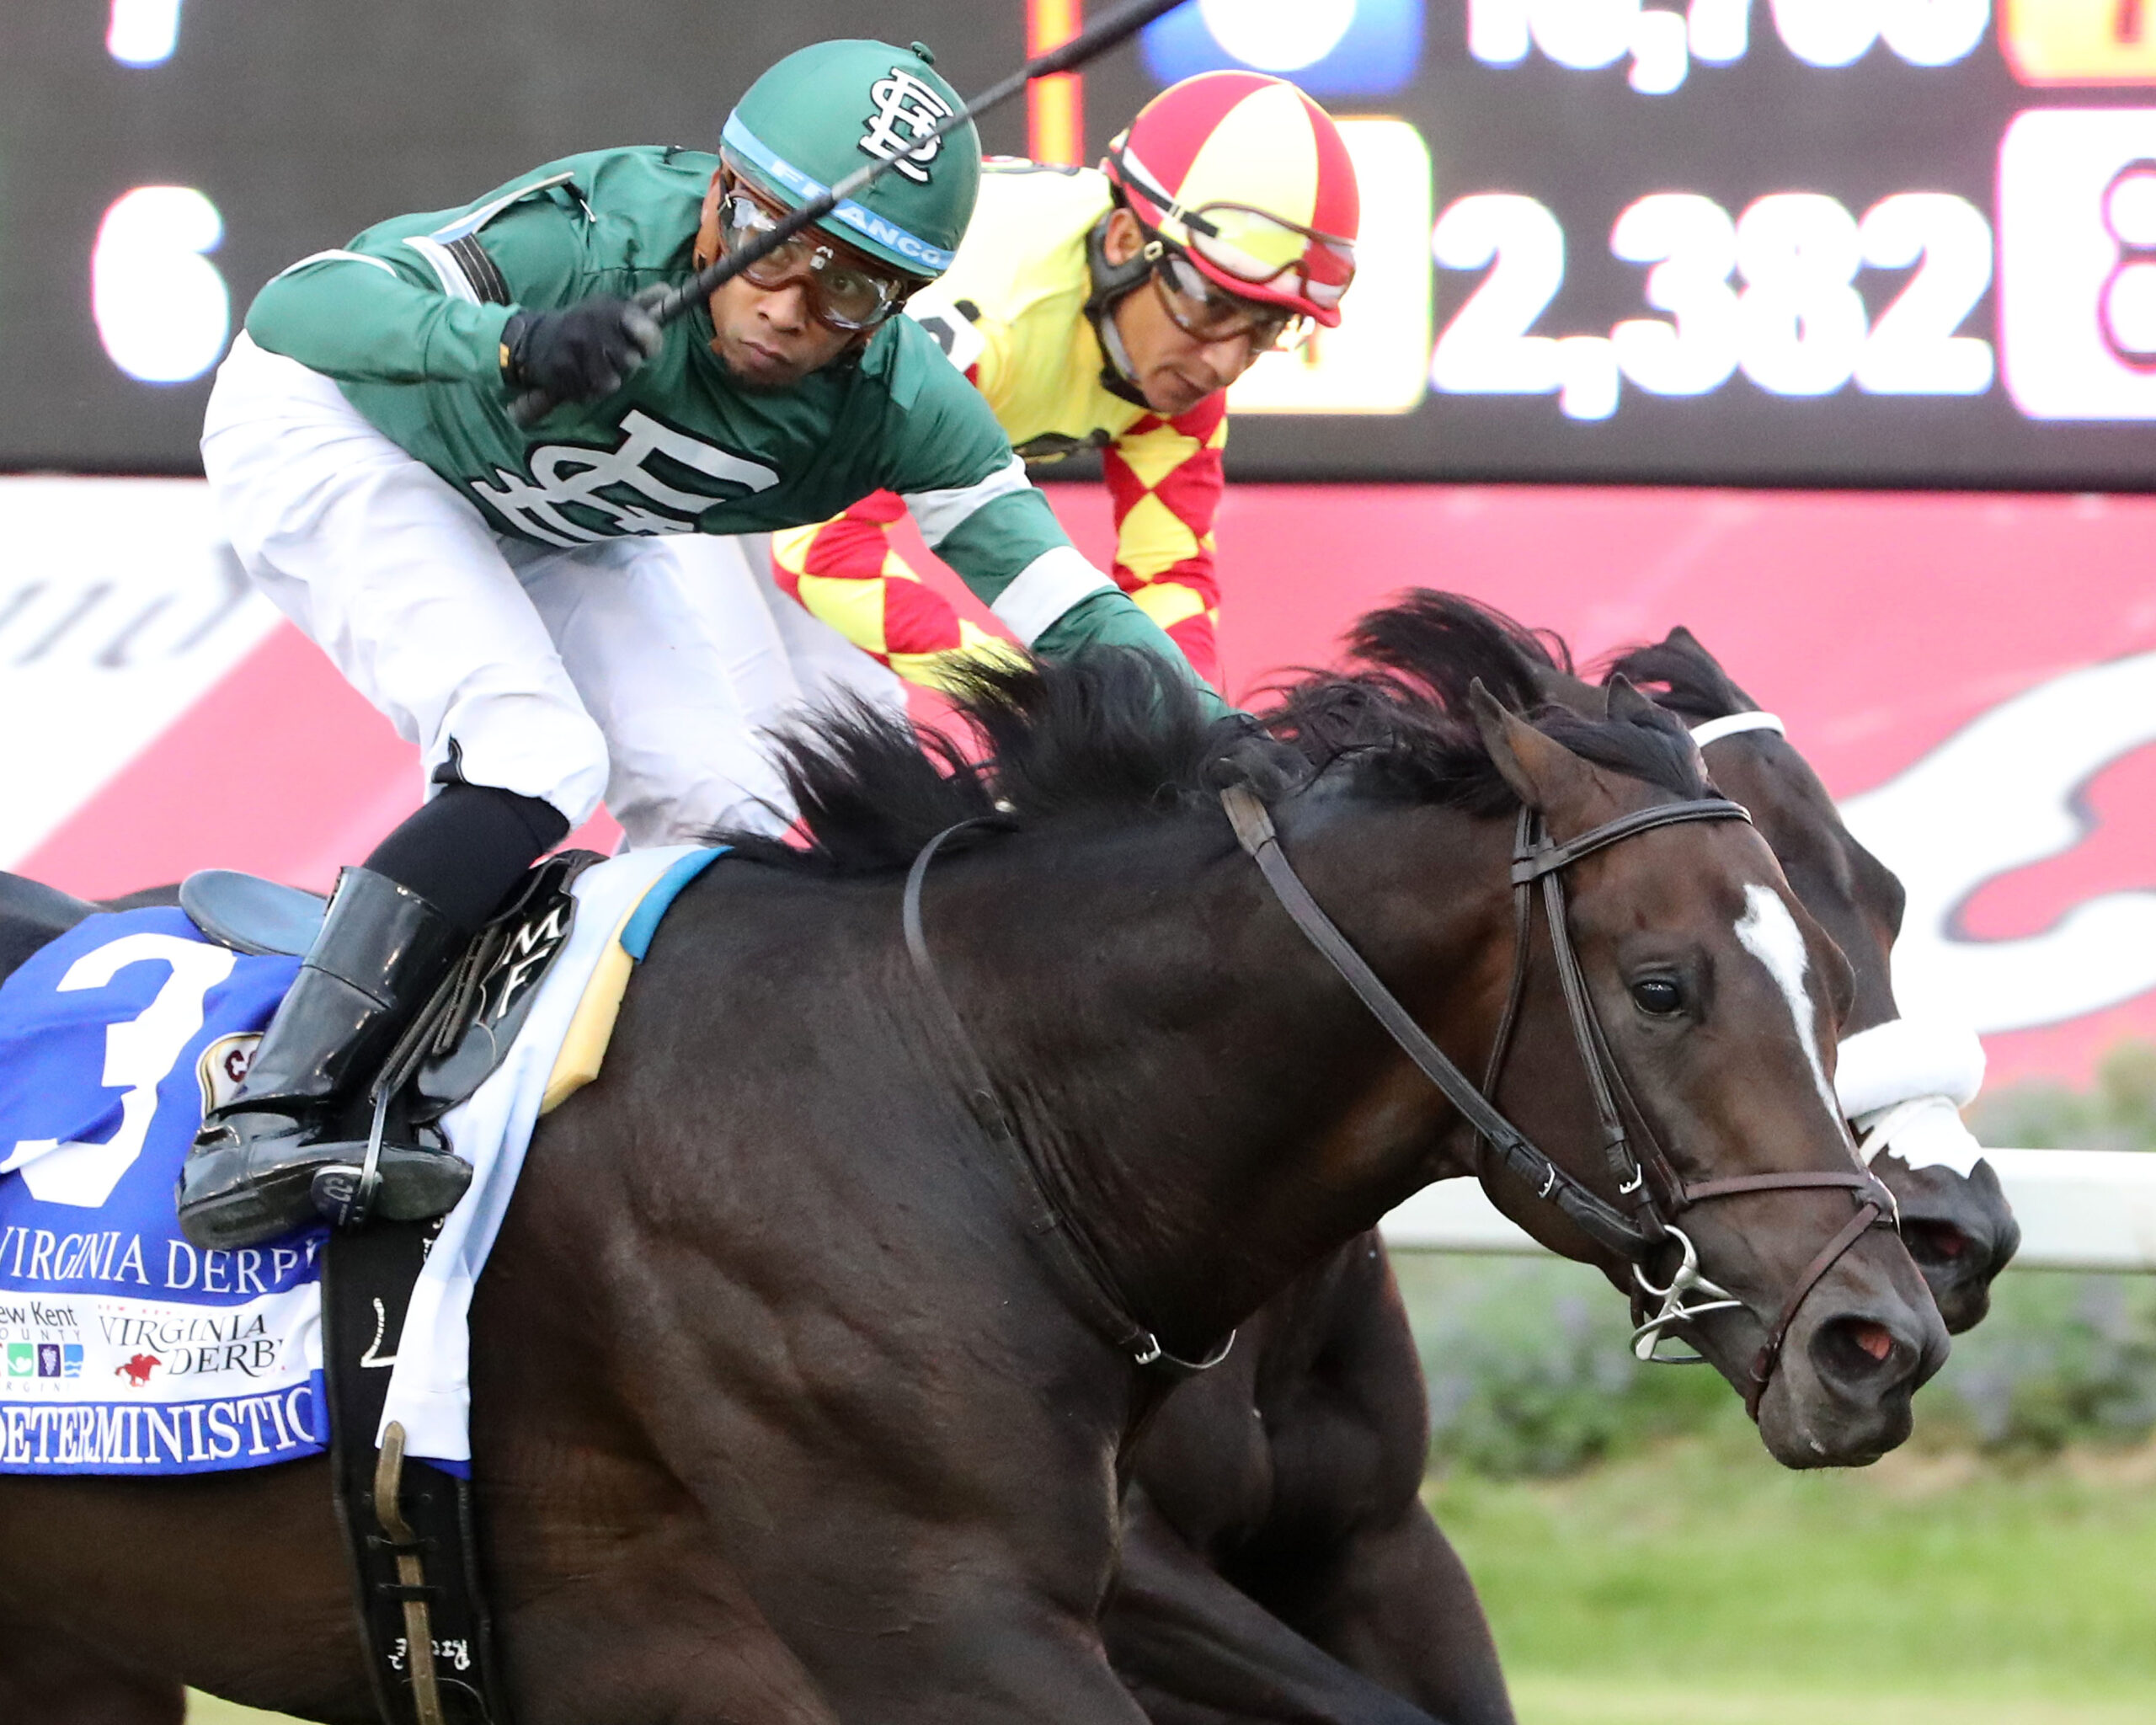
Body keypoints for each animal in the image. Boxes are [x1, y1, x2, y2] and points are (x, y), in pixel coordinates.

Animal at [0, 646, 1946, 1723]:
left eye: (1861, 914)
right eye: (1666, 984)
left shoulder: (1360, 1547)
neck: (965, 1096)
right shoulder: (955, 1625)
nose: (1884, 1328)